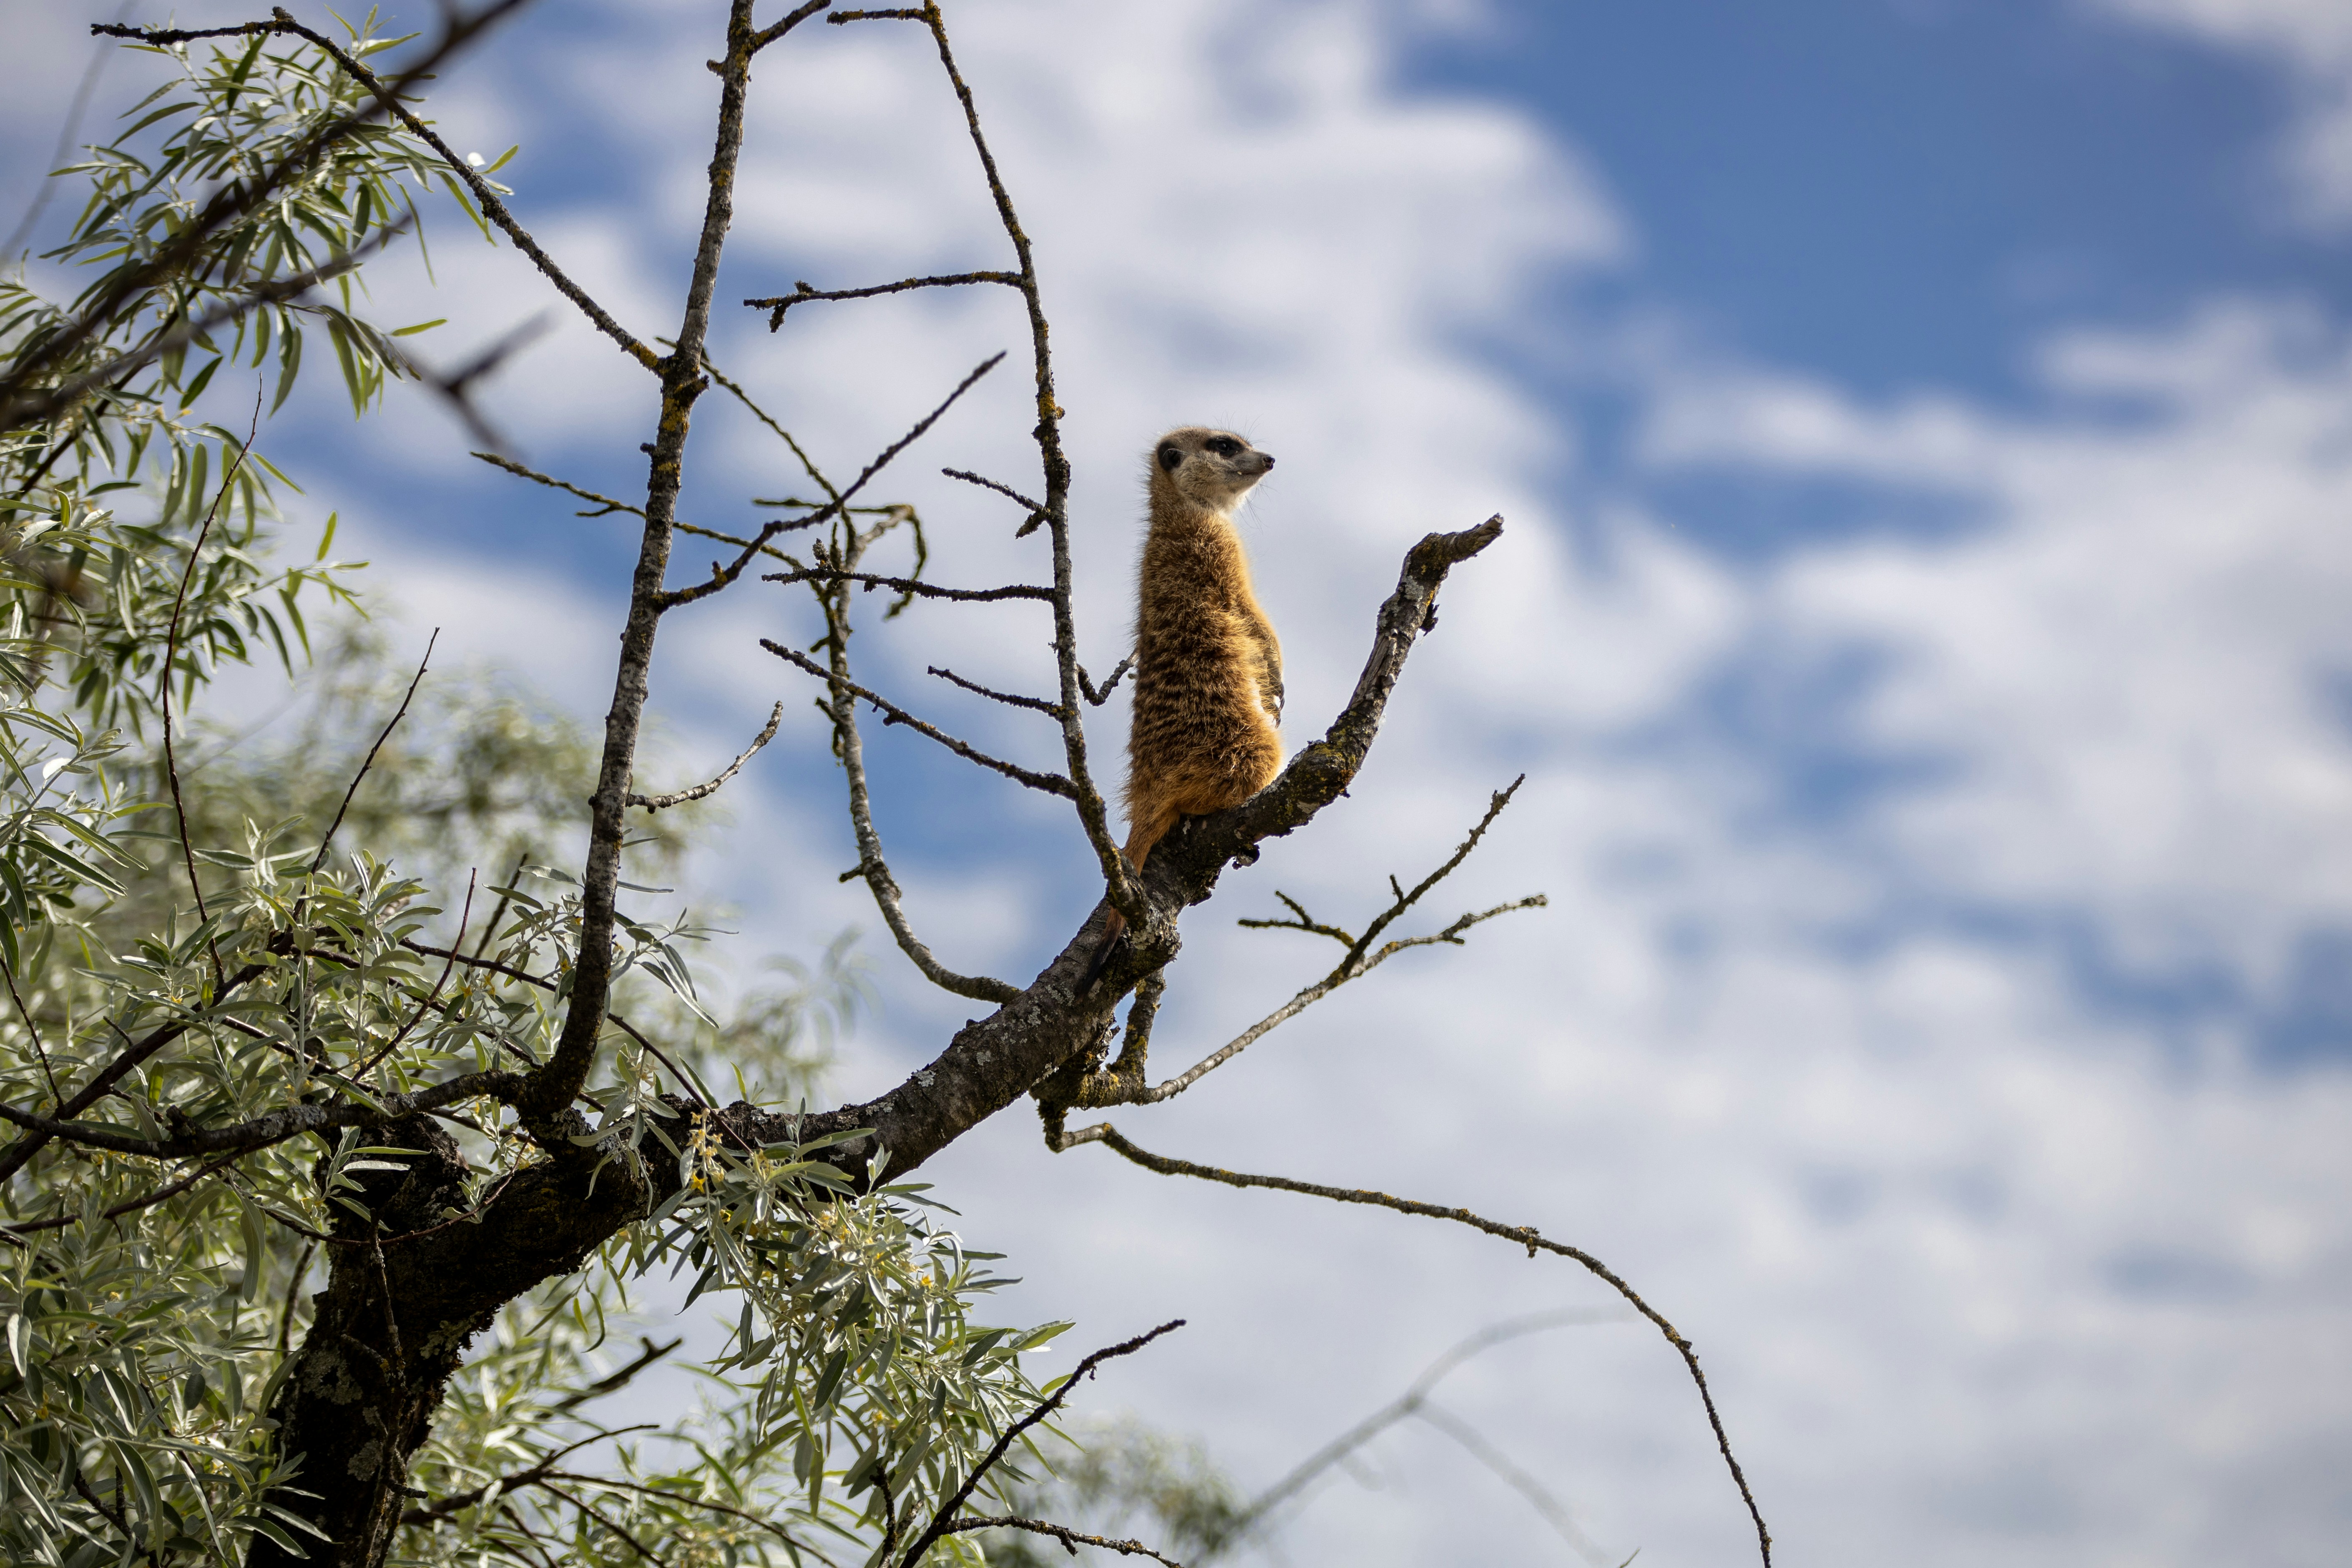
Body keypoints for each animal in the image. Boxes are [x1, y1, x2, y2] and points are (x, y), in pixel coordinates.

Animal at [1082, 426, 1283, 990]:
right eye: (1226, 445)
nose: (1270, 459)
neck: (1180, 513)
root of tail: (1148, 787)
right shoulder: (1217, 551)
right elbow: (1252, 620)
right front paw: (1278, 682)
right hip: (1244, 746)